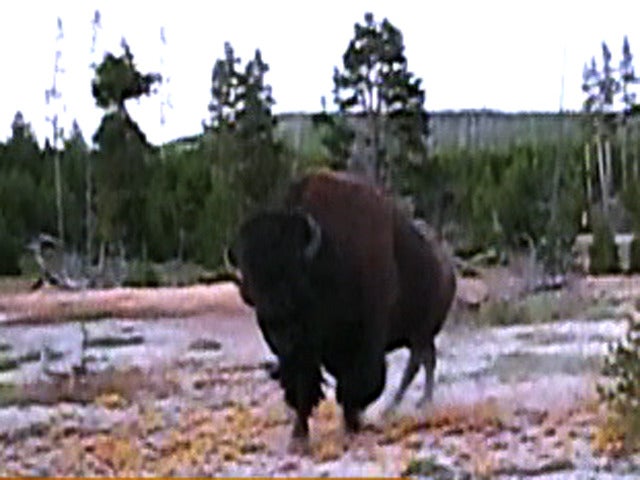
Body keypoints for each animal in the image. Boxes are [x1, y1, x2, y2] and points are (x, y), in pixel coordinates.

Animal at [227, 171, 456, 450]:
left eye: (290, 277)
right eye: (251, 285)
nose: (274, 319)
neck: (325, 256)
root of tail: (447, 263)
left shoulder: (364, 338)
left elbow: (356, 383)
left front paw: (351, 426)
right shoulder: (305, 351)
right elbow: (304, 387)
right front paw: (299, 437)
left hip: (422, 332)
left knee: (421, 362)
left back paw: (414, 404)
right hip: (418, 335)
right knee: (421, 361)